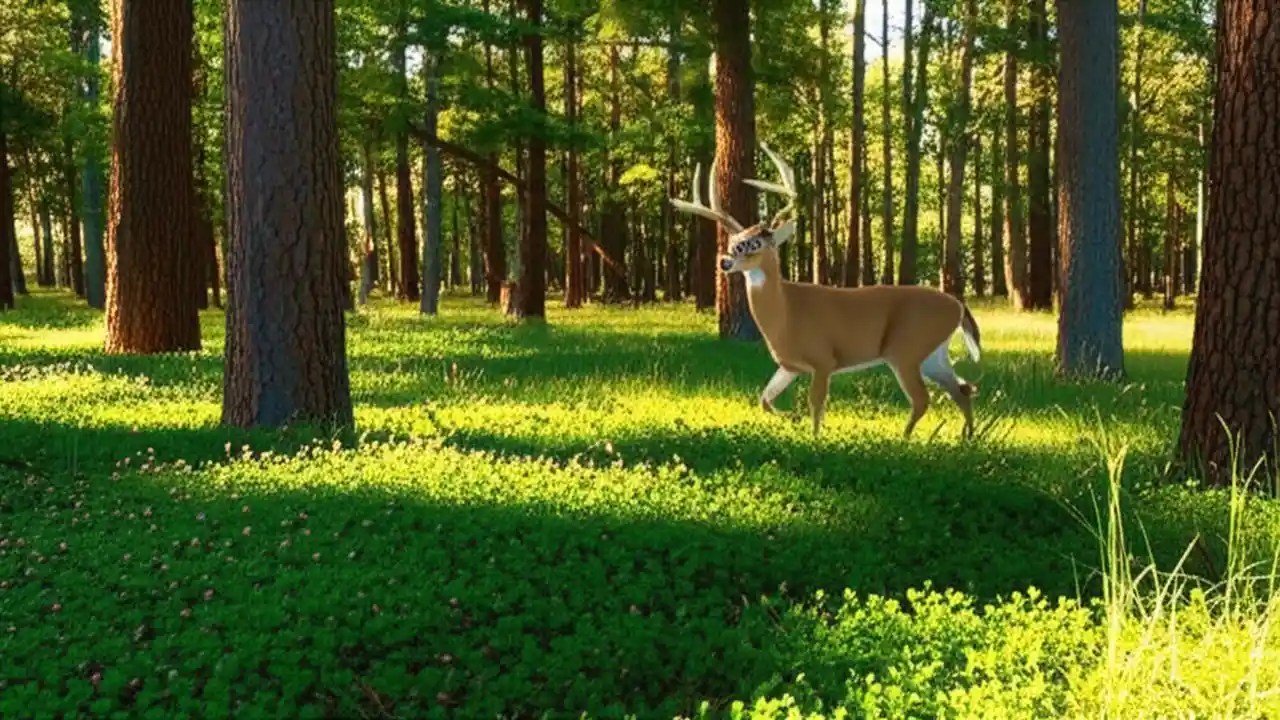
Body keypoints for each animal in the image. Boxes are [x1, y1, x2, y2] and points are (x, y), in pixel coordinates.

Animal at [670, 142, 983, 439]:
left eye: (755, 243)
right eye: (734, 241)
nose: (724, 261)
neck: (785, 313)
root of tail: (958, 305)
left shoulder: (823, 358)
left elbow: (816, 403)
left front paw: (814, 436)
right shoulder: (790, 365)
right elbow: (765, 399)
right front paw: (792, 418)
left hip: (907, 347)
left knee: (923, 398)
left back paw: (906, 438)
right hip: (932, 354)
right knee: (961, 389)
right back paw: (966, 436)